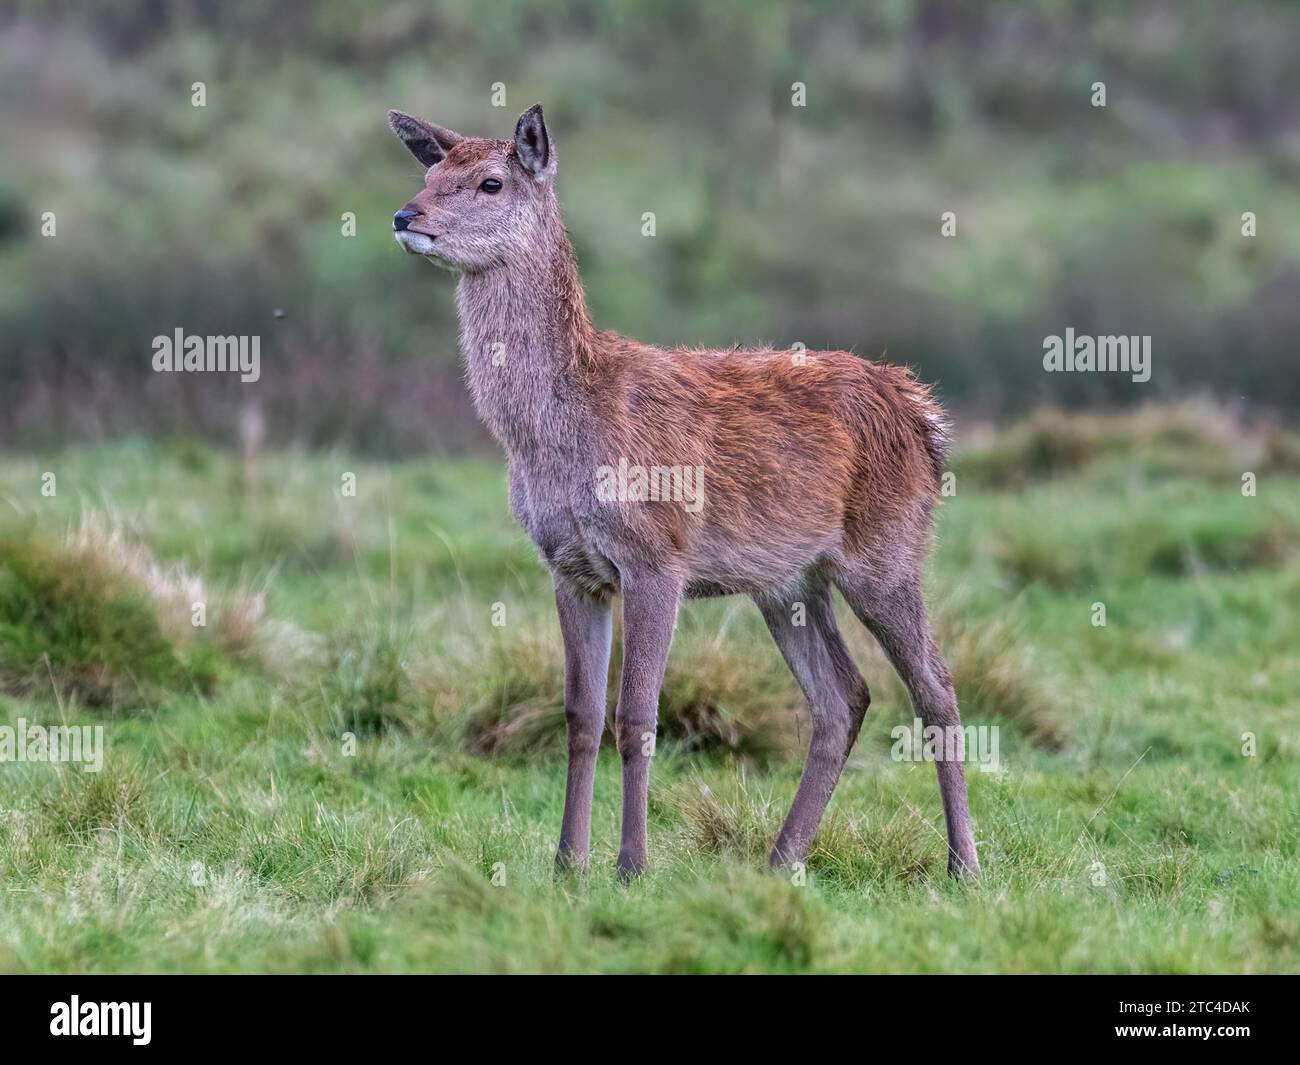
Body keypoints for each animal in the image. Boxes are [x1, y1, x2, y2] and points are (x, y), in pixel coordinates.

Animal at [388, 103, 979, 881]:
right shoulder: (569, 567)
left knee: (936, 685)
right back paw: (780, 858)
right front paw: (567, 863)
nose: (405, 215)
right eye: (431, 171)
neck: (557, 437)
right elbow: (580, 714)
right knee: (843, 696)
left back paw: (964, 865)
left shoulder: (656, 555)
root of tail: (925, 414)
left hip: (887, 552)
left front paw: (631, 866)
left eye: (490, 181)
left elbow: (637, 714)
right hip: (788, 582)